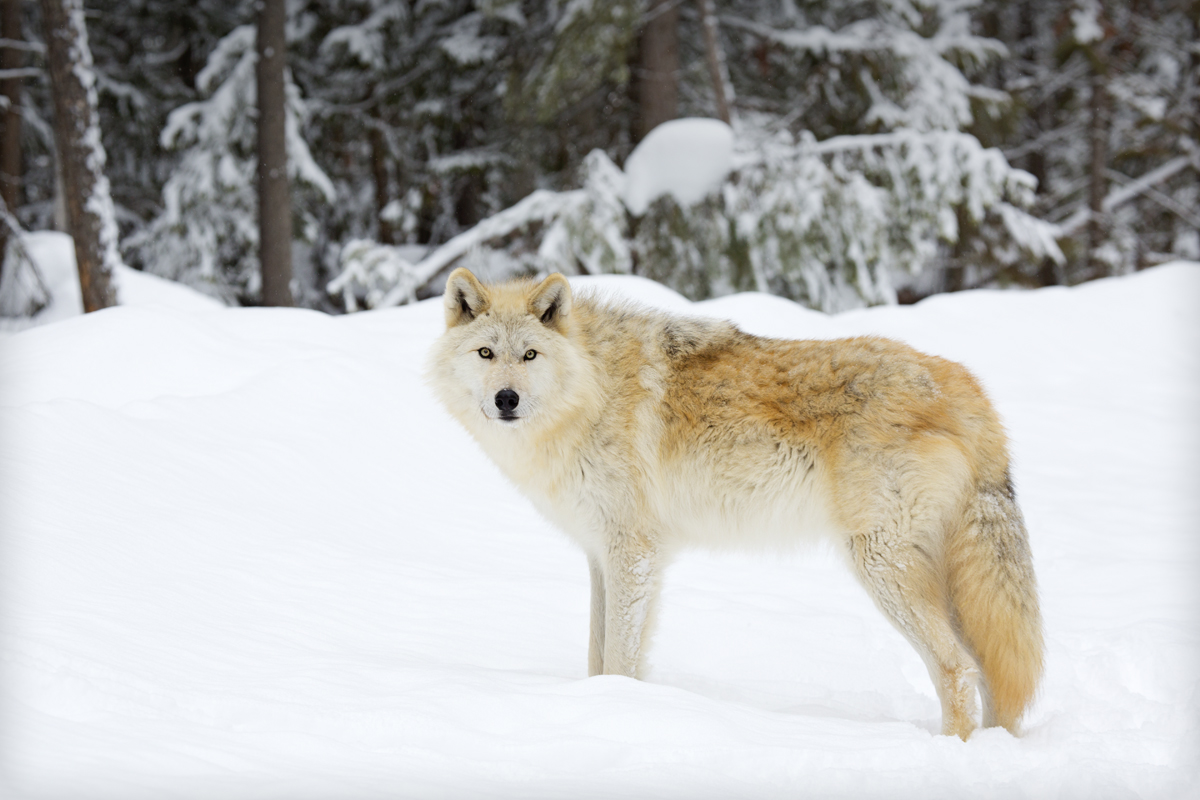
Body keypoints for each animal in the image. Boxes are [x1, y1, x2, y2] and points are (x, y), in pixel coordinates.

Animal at [428, 267, 1043, 740]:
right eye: (486, 353)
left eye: (530, 355)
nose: (506, 399)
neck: (591, 390)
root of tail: (964, 384)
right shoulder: (601, 555)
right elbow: (596, 657)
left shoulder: (632, 551)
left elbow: (618, 658)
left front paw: (616, 712)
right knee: (990, 670)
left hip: (882, 565)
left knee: (957, 669)